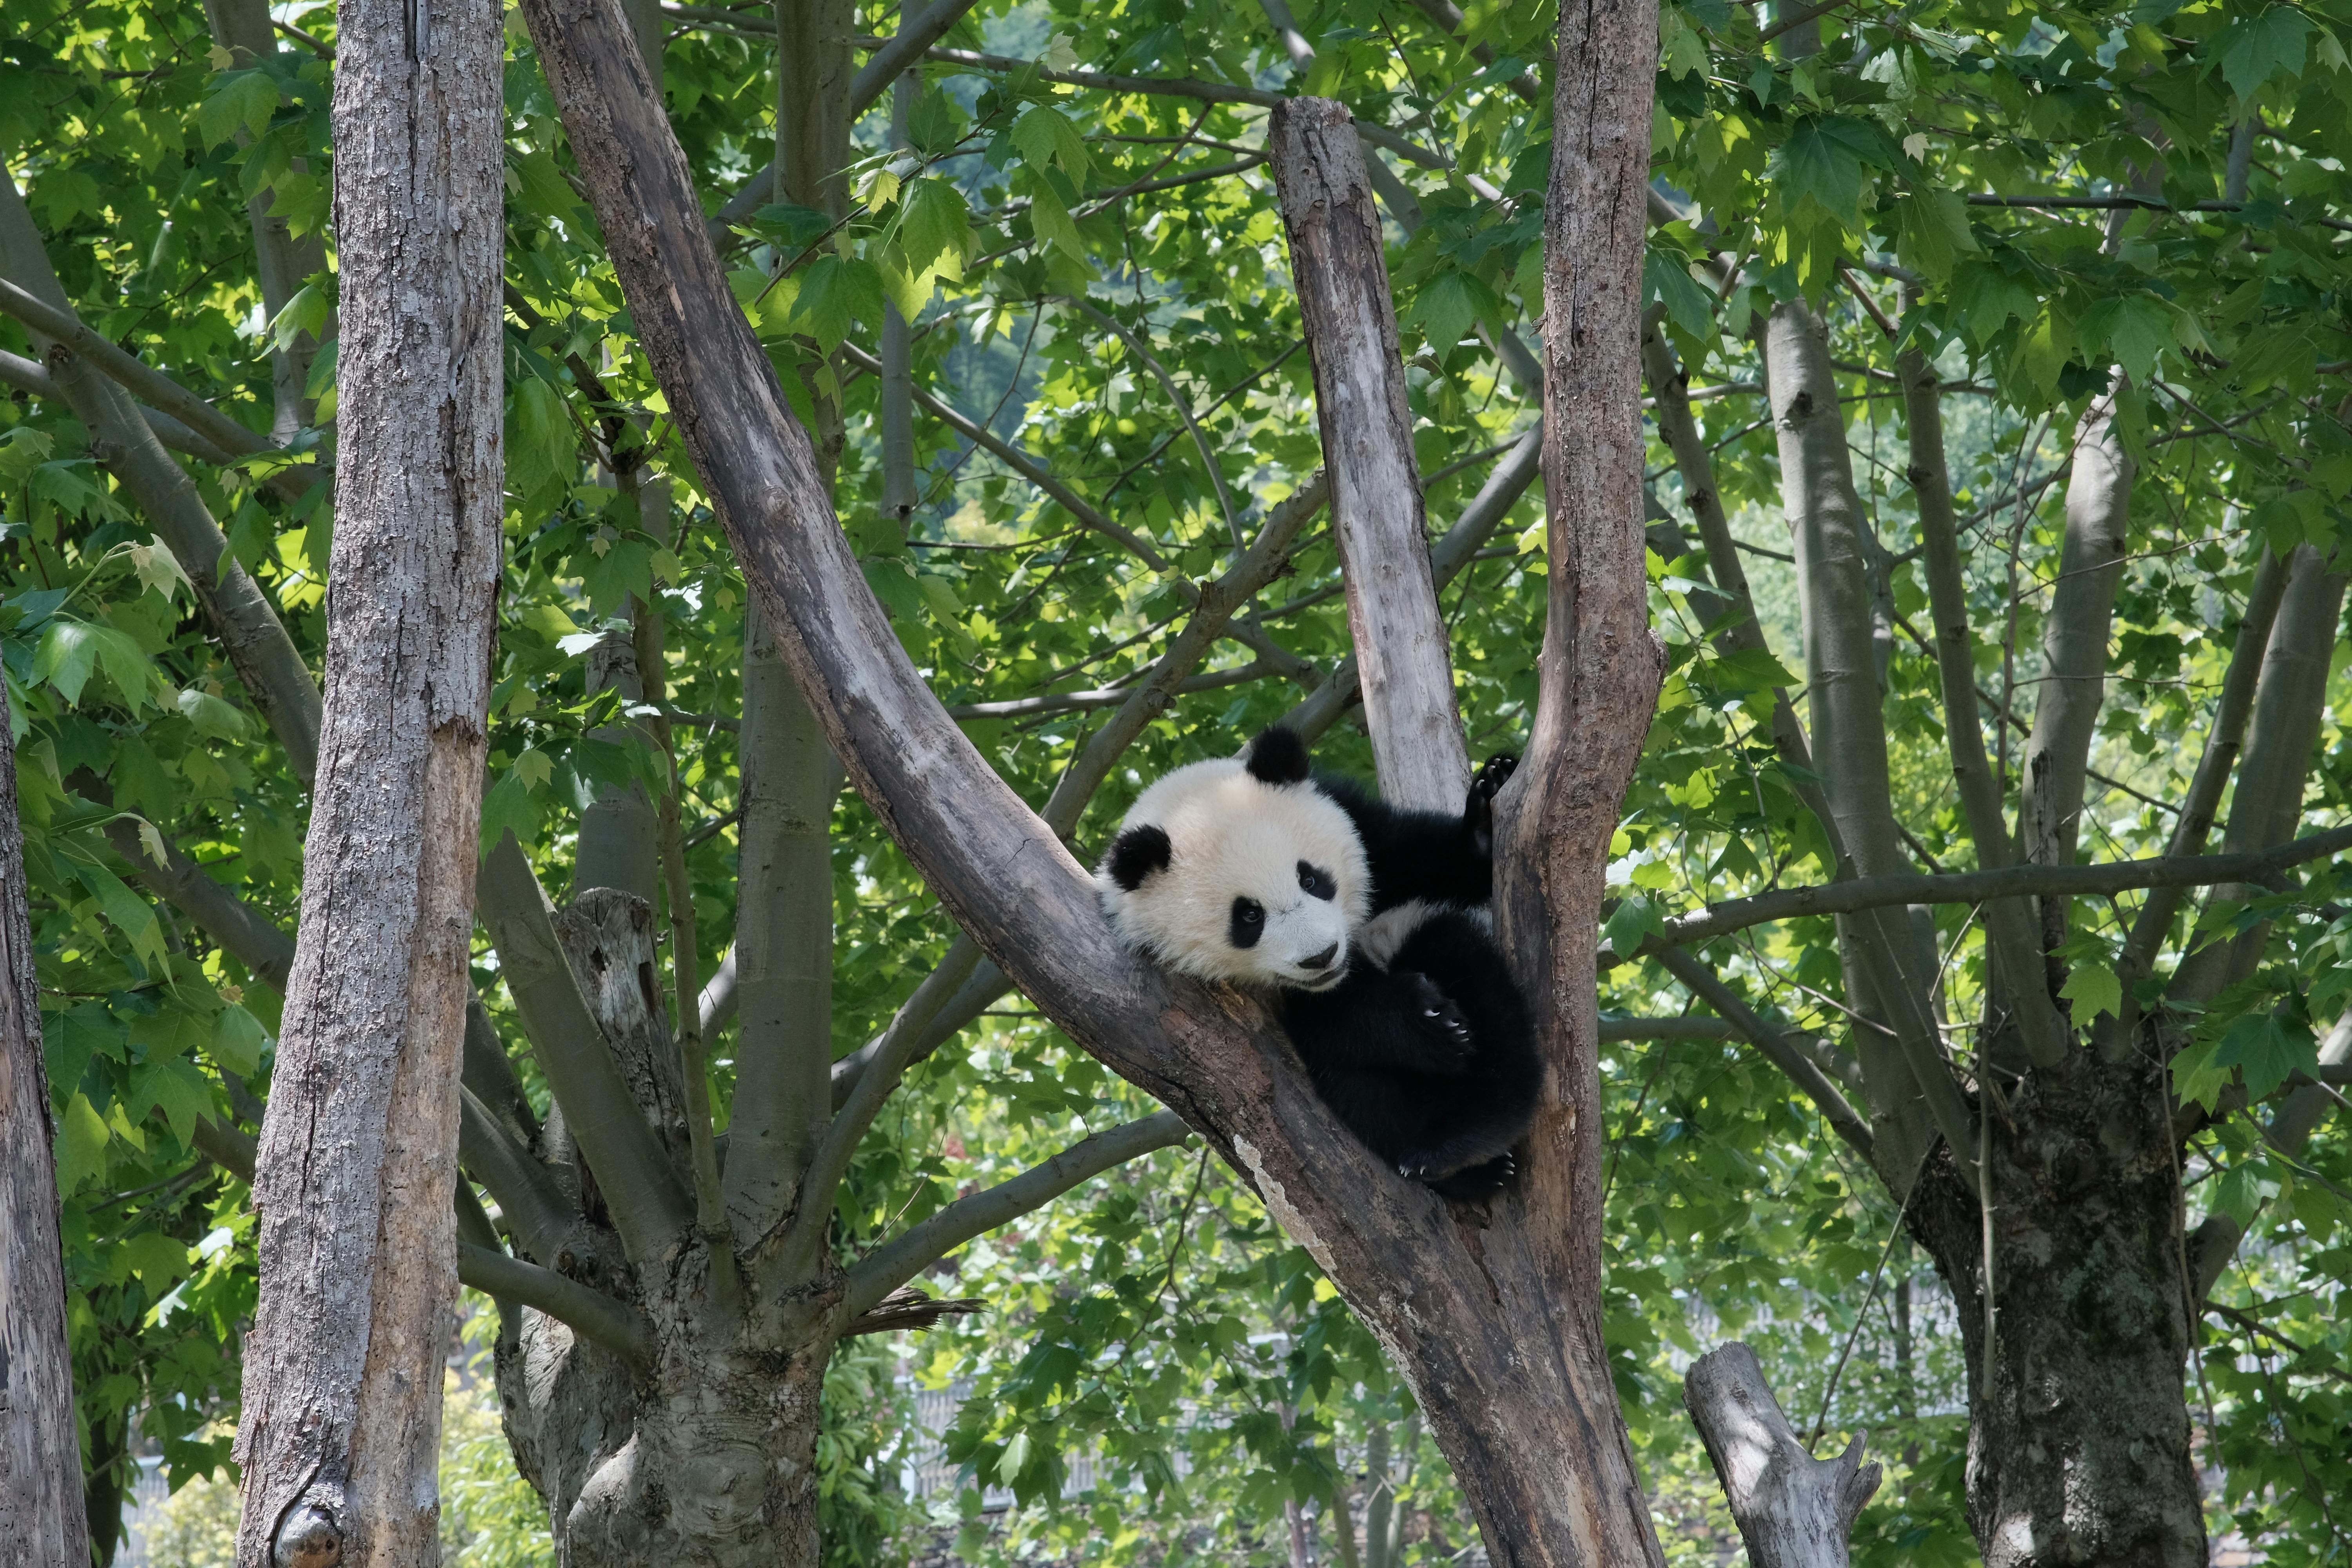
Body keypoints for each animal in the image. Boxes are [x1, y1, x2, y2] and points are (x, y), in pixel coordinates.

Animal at [1097, 726, 1541, 1200]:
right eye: (1249, 916)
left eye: (1311, 878)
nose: (1321, 956)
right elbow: (1333, 1019)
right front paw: (1423, 1020)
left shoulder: (1363, 827)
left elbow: (1434, 859)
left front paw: (1491, 800)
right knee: (1363, 1093)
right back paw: (1461, 1165)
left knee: (1469, 975)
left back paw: (1469, 1129)